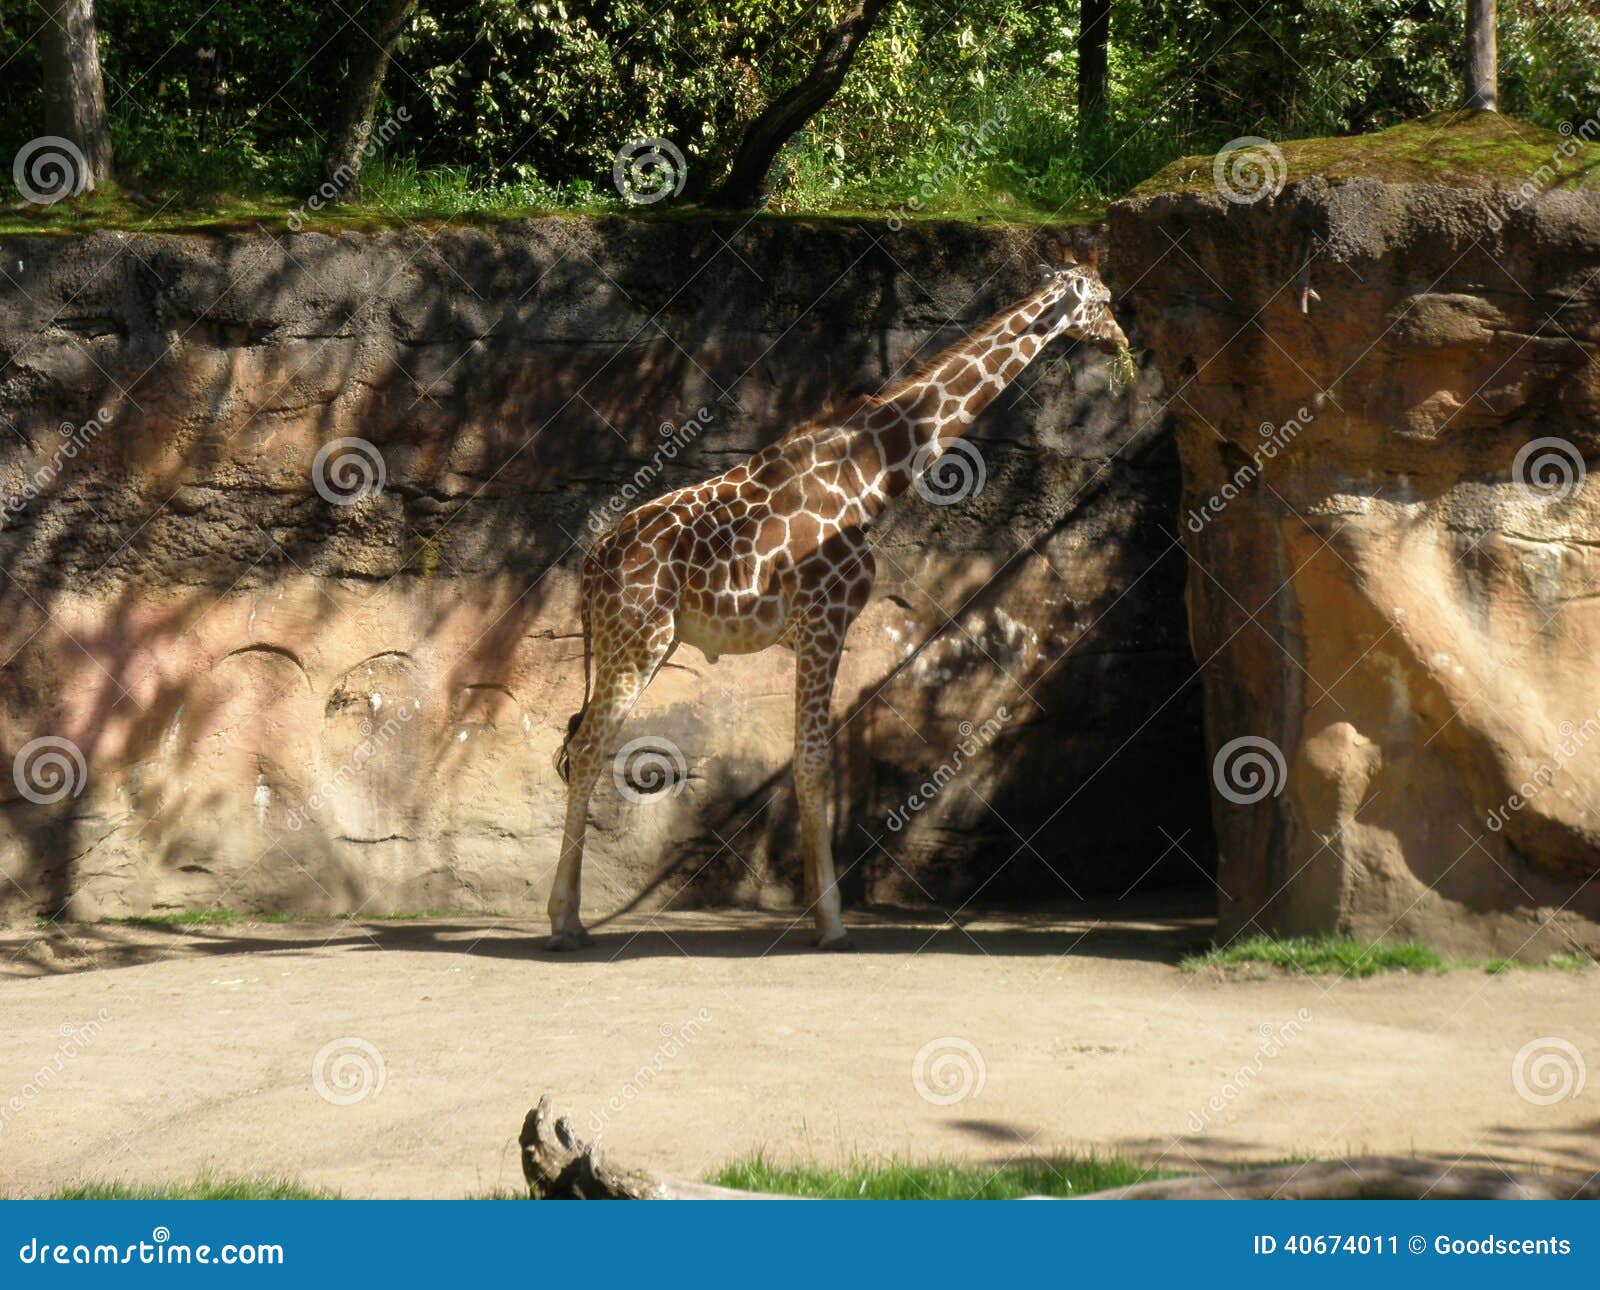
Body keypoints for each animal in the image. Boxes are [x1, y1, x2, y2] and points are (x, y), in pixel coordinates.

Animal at [549, 246, 1128, 950]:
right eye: (1102, 300)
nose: (1124, 341)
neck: (875, 473)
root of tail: (591, 563)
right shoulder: (828, 617)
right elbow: (813, 762)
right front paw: (831, 922)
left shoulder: (809, 630)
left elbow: (807, 759)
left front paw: (816, 911)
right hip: (639, 638)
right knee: (587, 749)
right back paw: (564, 921)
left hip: (628, 643)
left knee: (581, 744)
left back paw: (571, 916)